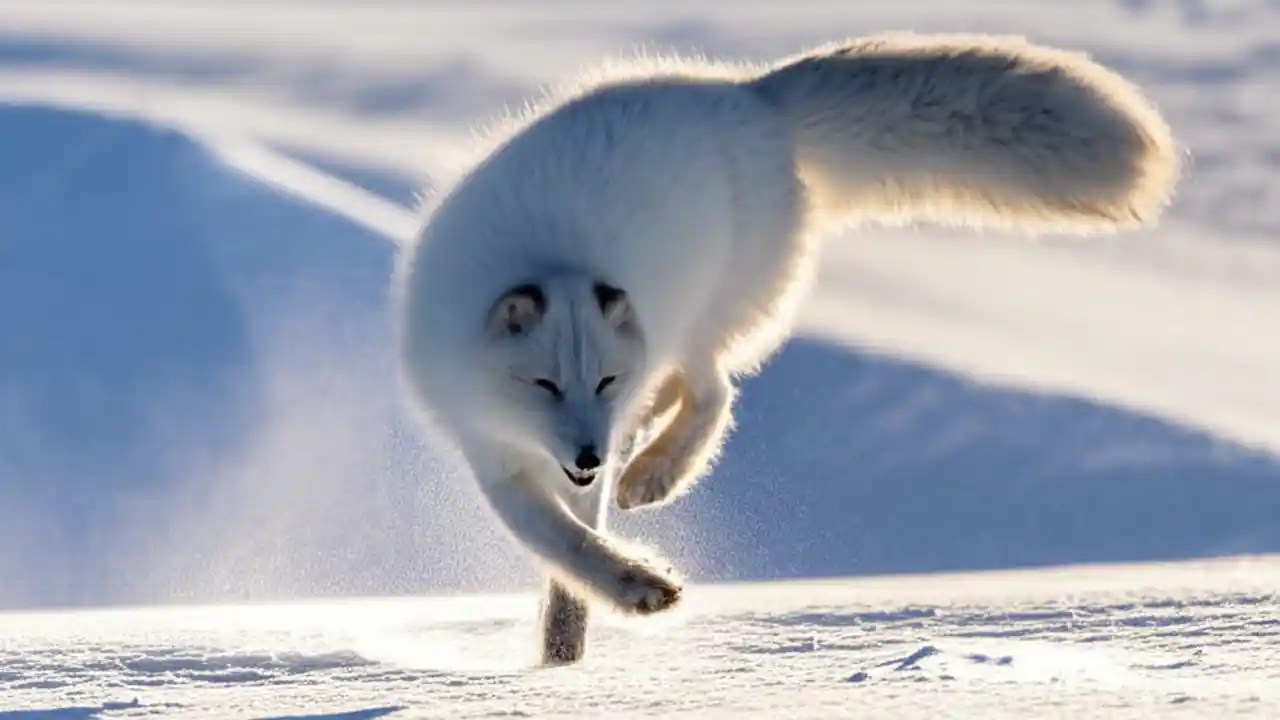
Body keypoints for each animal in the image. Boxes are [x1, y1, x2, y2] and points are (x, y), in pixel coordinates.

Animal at [398, 33, 1179, 665]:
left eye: (604, 380)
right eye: (544, 385)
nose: (588, 456)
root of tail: (750, 96)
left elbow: (577, 541)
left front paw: (610, 611)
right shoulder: (493, 452)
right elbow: (562, 546)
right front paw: (581, 633)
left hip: (713, 306)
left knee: (714, 390)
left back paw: (654, 470)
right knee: (689, 388)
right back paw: (643, 454)